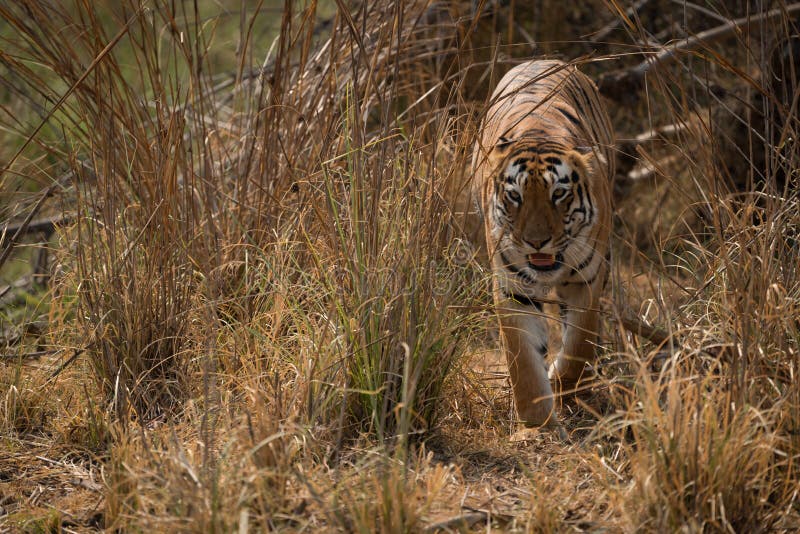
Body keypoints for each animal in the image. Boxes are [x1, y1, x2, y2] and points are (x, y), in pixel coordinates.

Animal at [471, 59, 615, 431]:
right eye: (515, 196)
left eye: (558, 194)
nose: (536, 241)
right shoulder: (512, 287)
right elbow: (522, 360)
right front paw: (537, 422)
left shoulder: (586, 281)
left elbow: (578, 345)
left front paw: (563, 385)